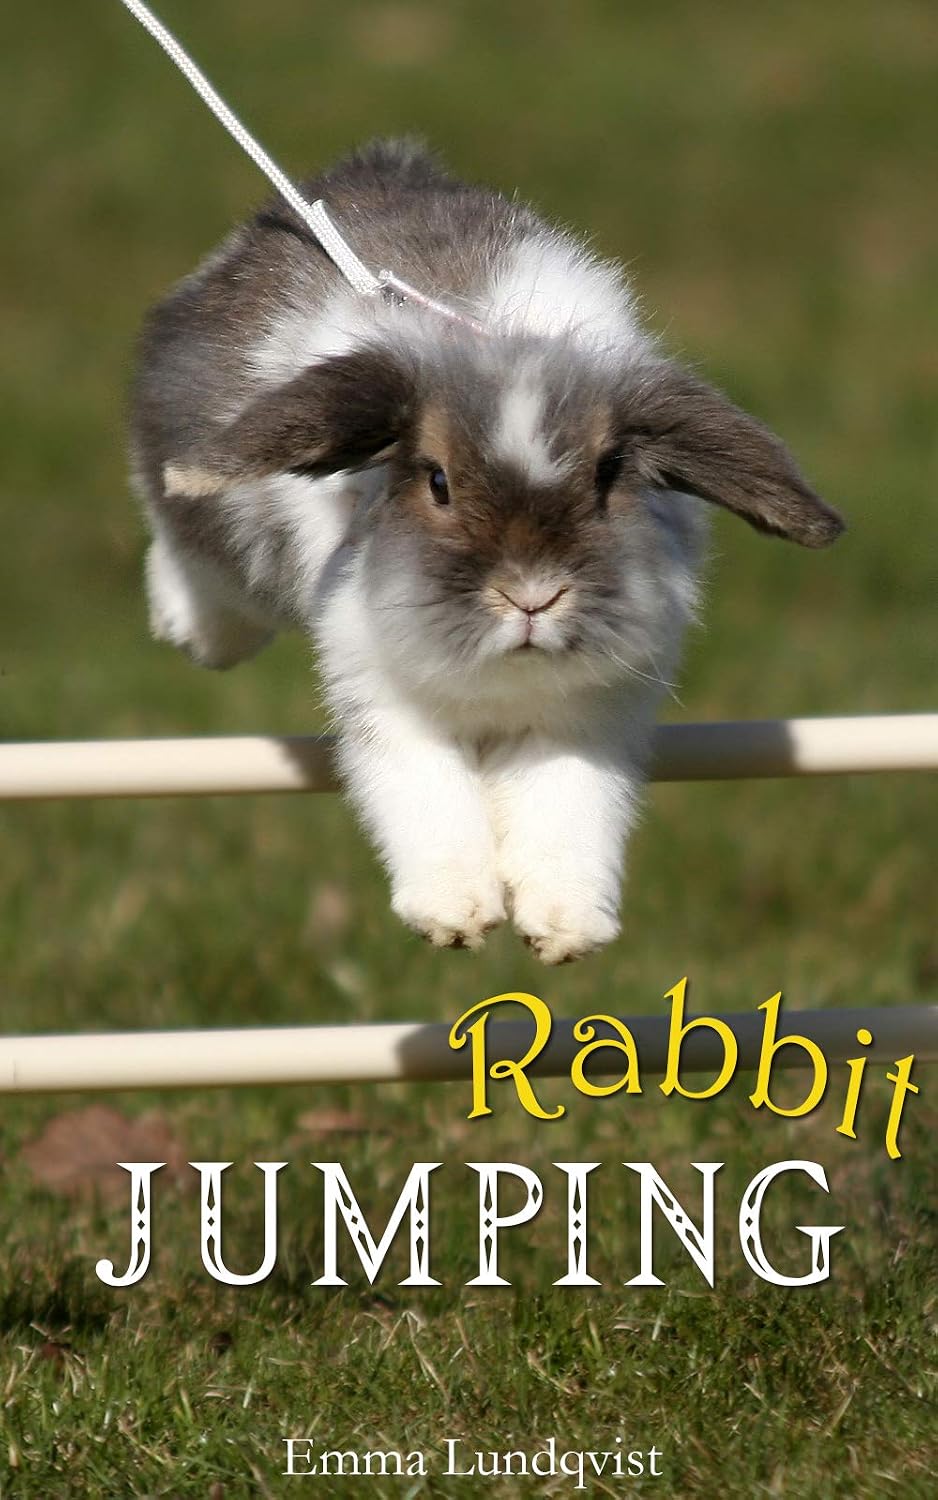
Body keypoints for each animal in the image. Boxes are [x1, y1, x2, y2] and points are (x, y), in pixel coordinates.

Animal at [130, 138, 844, 964]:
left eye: (609, 474)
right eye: (436, 480)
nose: (531, 594)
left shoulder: (586, 724)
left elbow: (569, 815)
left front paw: (564, 928)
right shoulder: (389, 706)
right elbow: (428, 801)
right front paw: (456, 915)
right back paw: (190, 627)